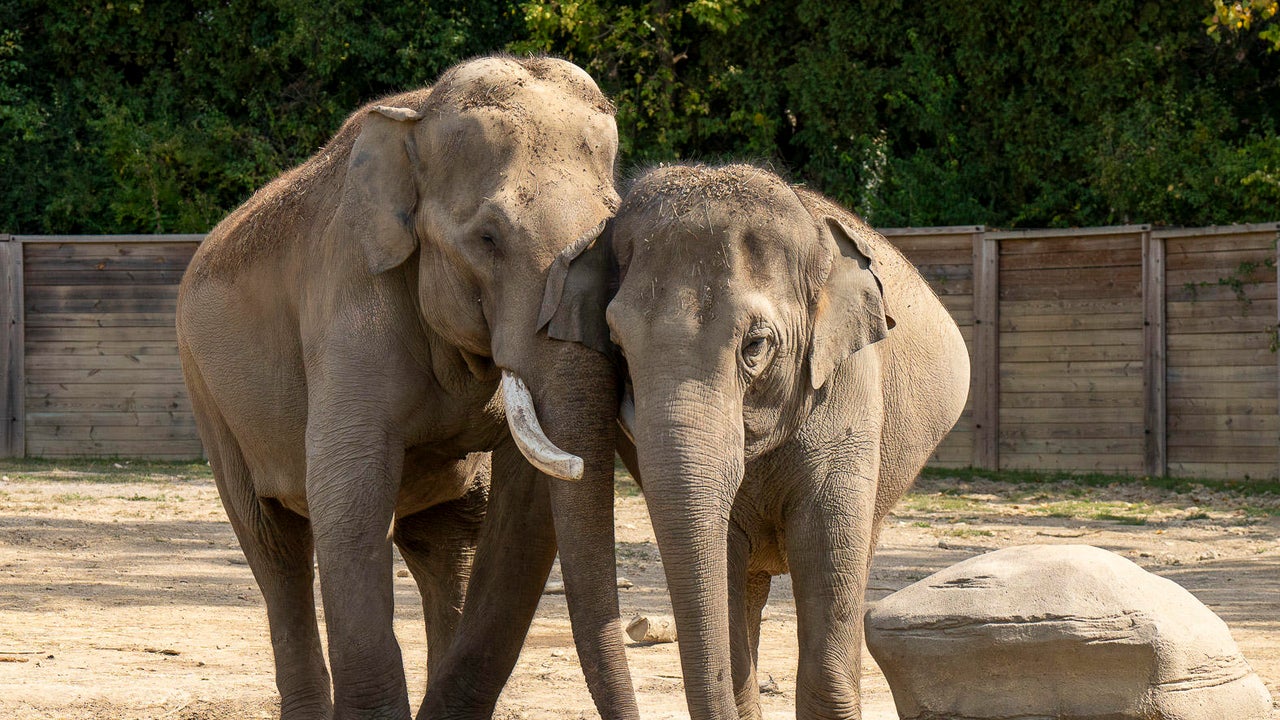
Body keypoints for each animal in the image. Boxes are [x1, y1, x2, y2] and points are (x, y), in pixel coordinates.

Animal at [176, 56, 639, 720]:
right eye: (488, 239)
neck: (417, 120)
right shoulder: (352, 300)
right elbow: (352, 492)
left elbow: (525, 509)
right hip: (208, 396)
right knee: (276, 548)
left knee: (449, 540)